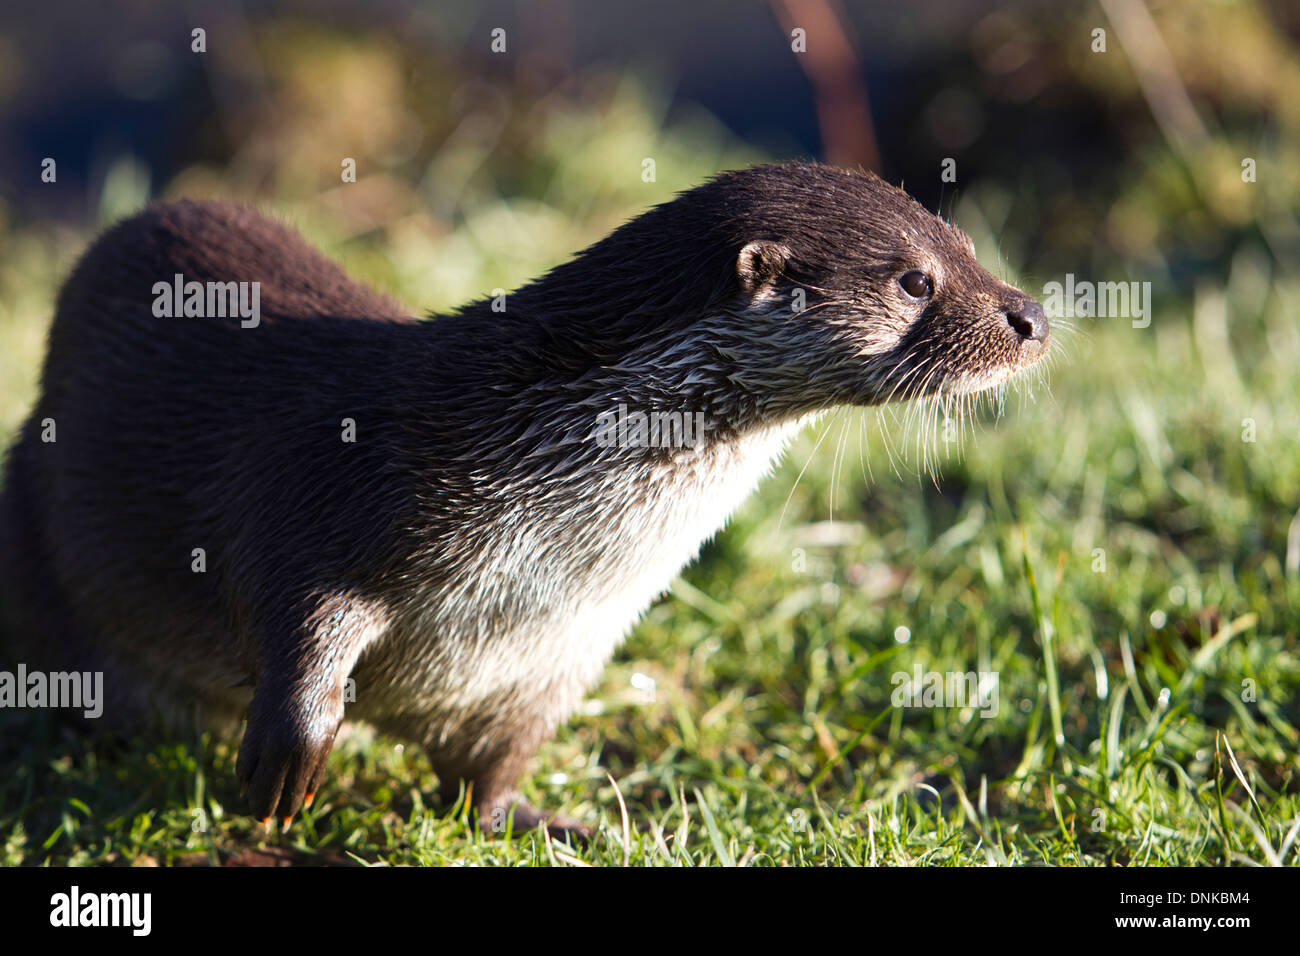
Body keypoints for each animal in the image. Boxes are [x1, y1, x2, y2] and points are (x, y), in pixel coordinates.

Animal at [0, 162, 1048, 834]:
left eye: (968, 244)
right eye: (915, 280)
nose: (1033, 314)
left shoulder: (552, 661)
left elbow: (492, 775)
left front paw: (560, 823)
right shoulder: (332, 491)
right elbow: (285, 603)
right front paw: (287, 762)